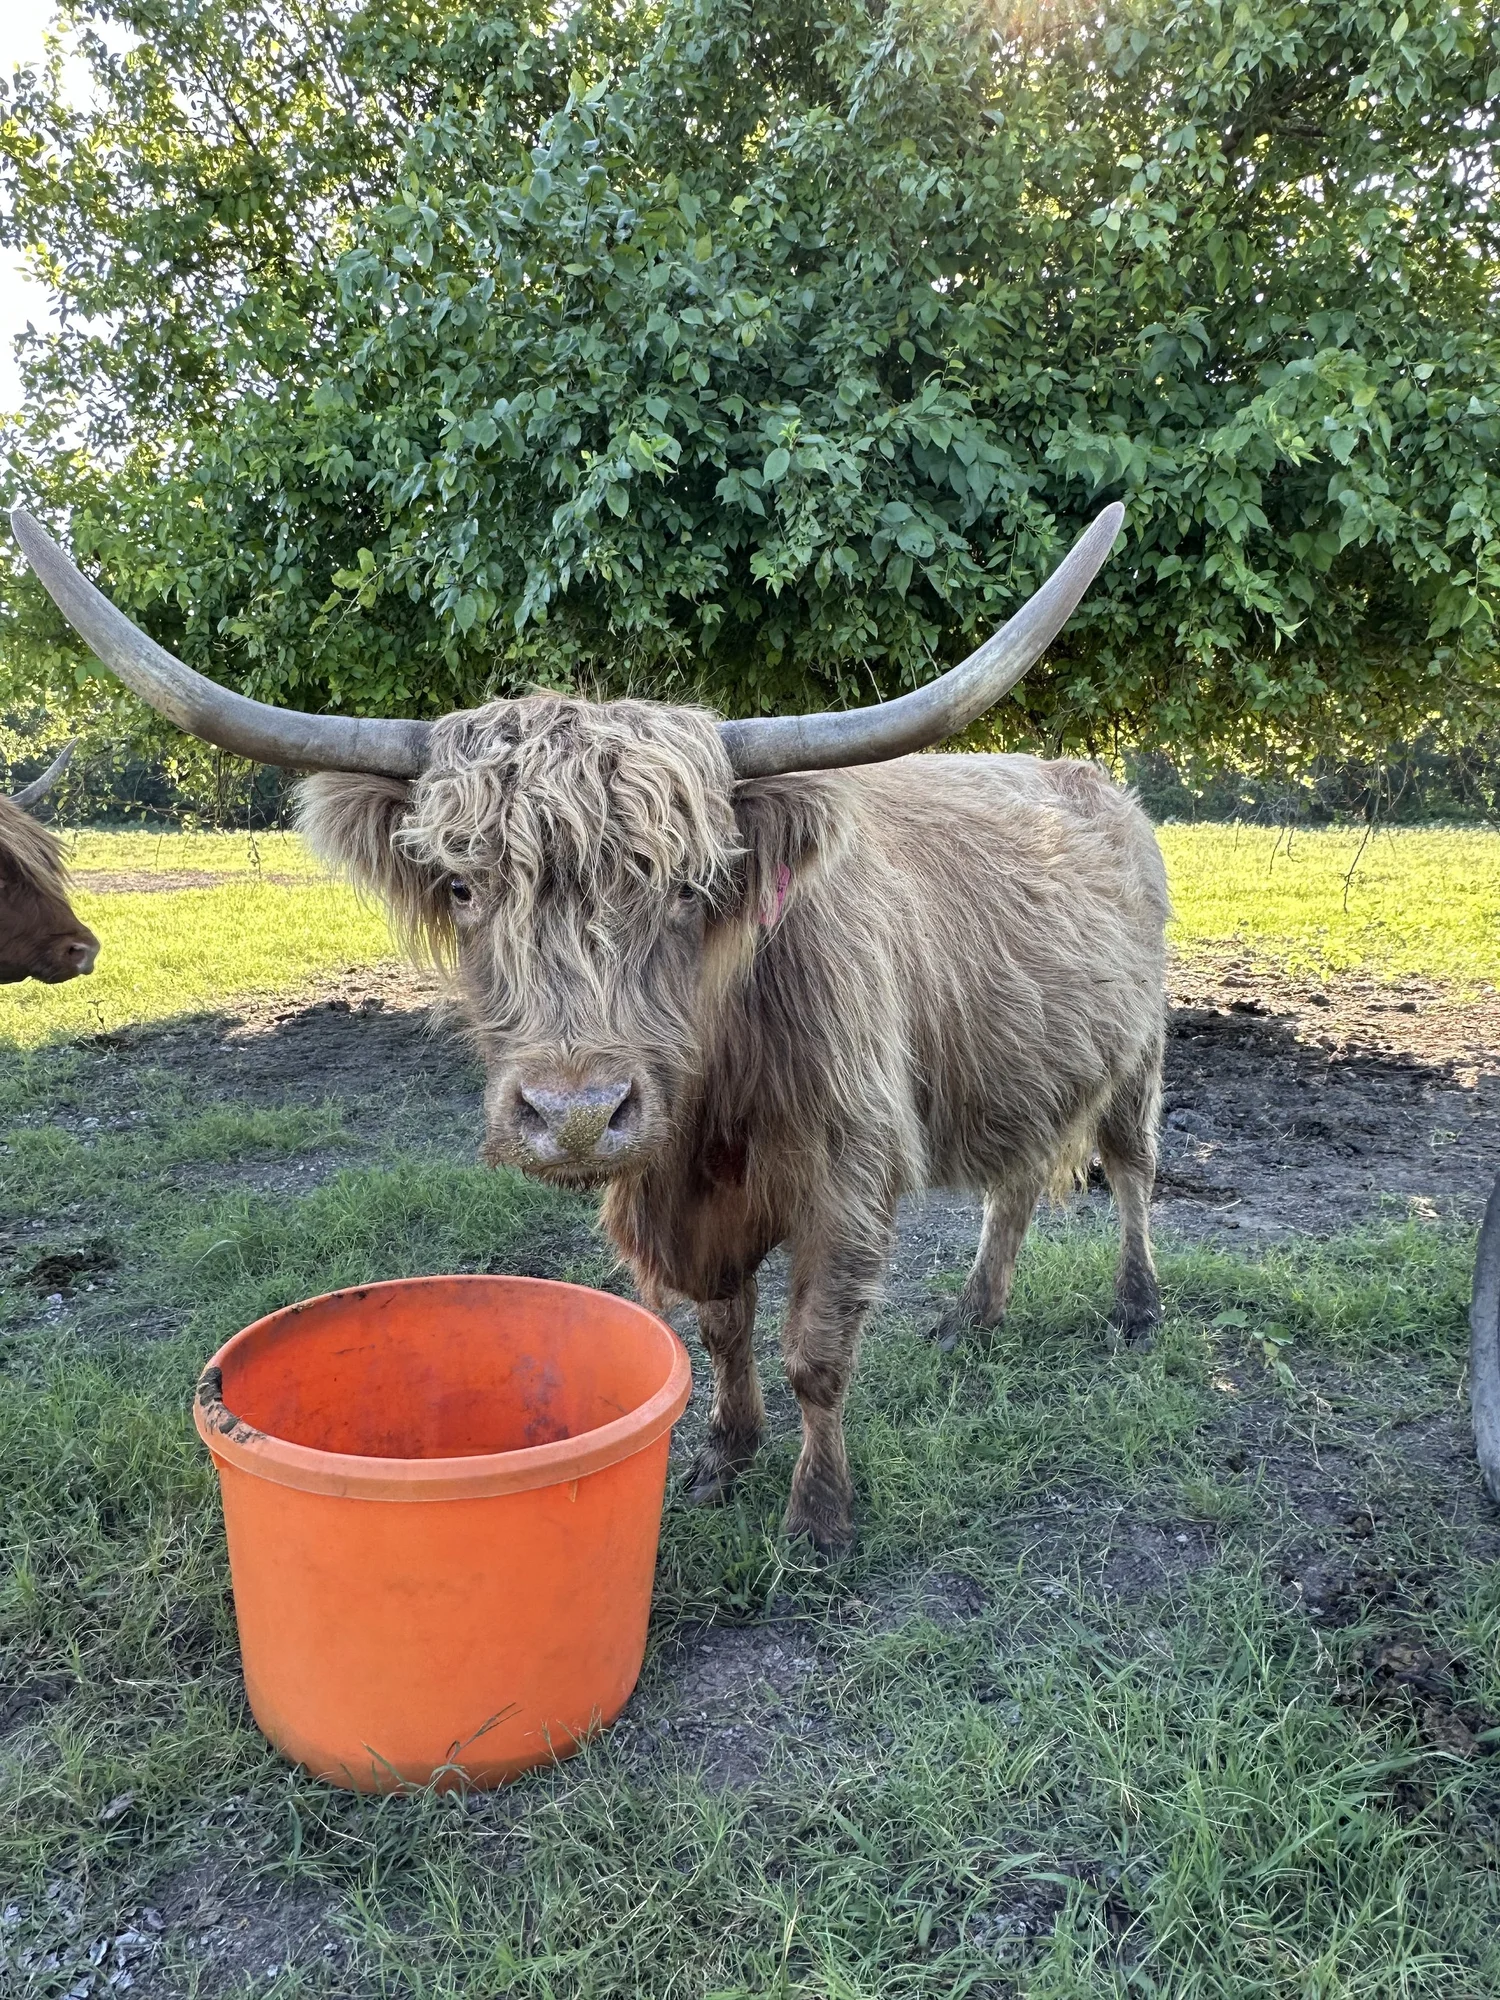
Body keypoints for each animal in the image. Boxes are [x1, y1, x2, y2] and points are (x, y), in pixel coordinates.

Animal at [12, 503, 1166, 1552]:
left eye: (692, 886)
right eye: (464, 886)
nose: (574, 1114)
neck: (715, 1107)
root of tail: (1091, 782)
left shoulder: (850, 1166)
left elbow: (816, 1353)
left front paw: (819, 1514)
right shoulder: (674, 1200)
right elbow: (722, 1327)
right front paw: (723, 1453)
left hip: (1139, 1052)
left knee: (1130, 1171)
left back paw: (1136, 1307)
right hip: (1032, 1063)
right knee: (1016, 1183)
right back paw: (974, 1314)